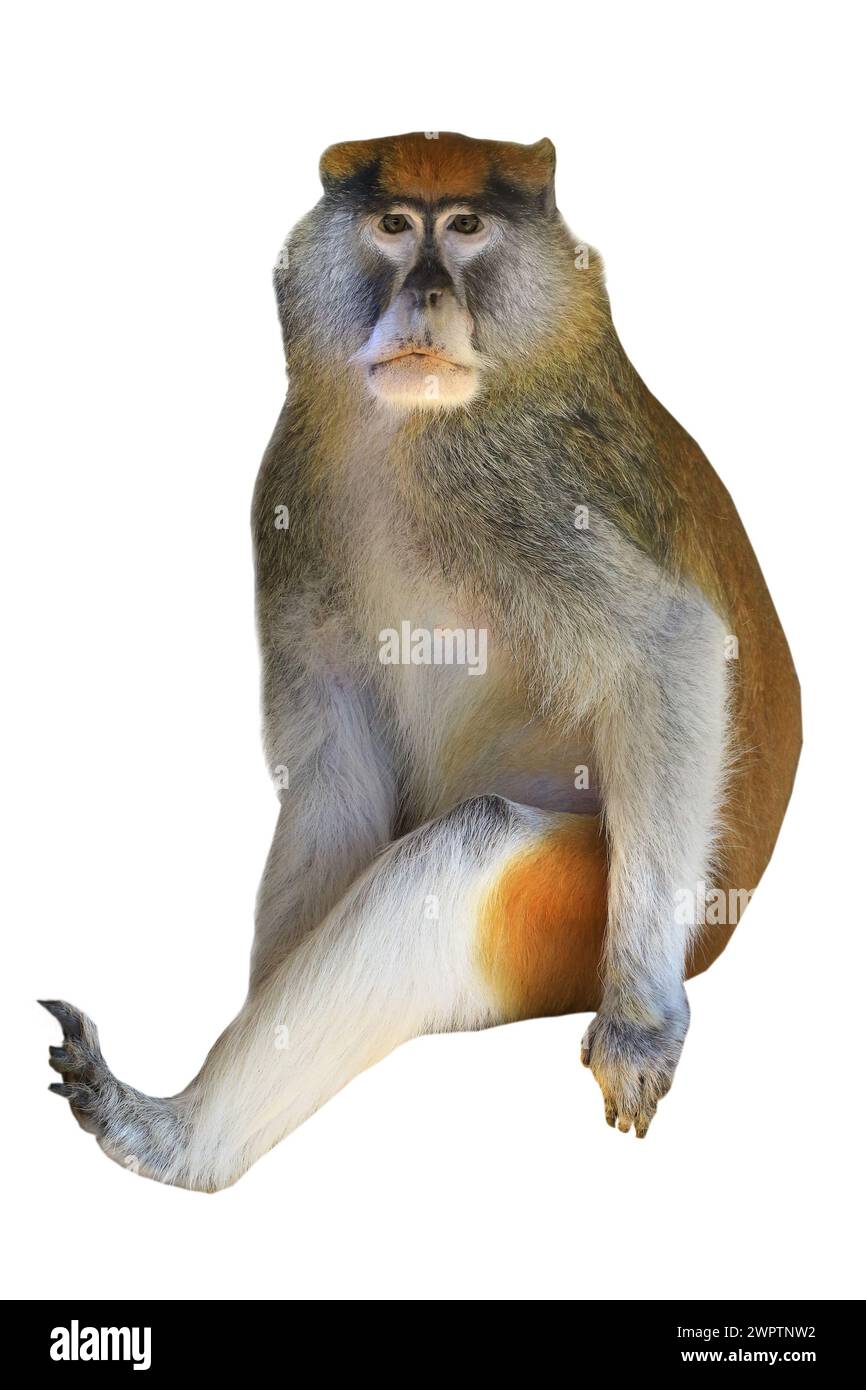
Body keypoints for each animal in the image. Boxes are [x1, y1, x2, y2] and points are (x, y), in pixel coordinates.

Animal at [41, 132, 801, 1191]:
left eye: (468, 225)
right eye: (396, 224)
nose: (428, 294)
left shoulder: (524, 489)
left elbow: (670, 647)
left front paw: (641, 1029)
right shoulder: (293, 500)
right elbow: (334, 763)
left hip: (575, 919)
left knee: (470, 843)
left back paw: (172, 1137)